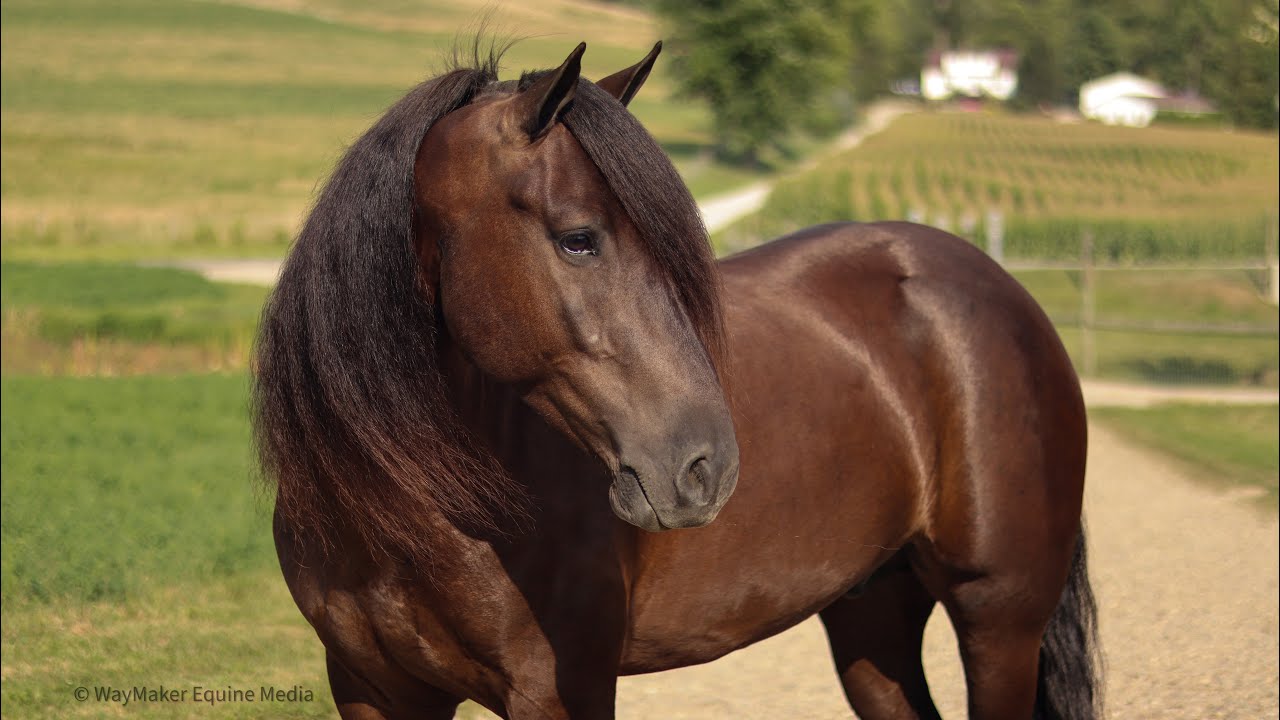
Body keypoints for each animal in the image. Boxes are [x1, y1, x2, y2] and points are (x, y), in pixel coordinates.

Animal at [253, 40, 1101, 720]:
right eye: (578, 238)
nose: (706, 467)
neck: (412, 515)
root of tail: (1000, 288)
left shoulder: (558, 689)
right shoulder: (373, 689)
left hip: (998, 619)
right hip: (873, 618)